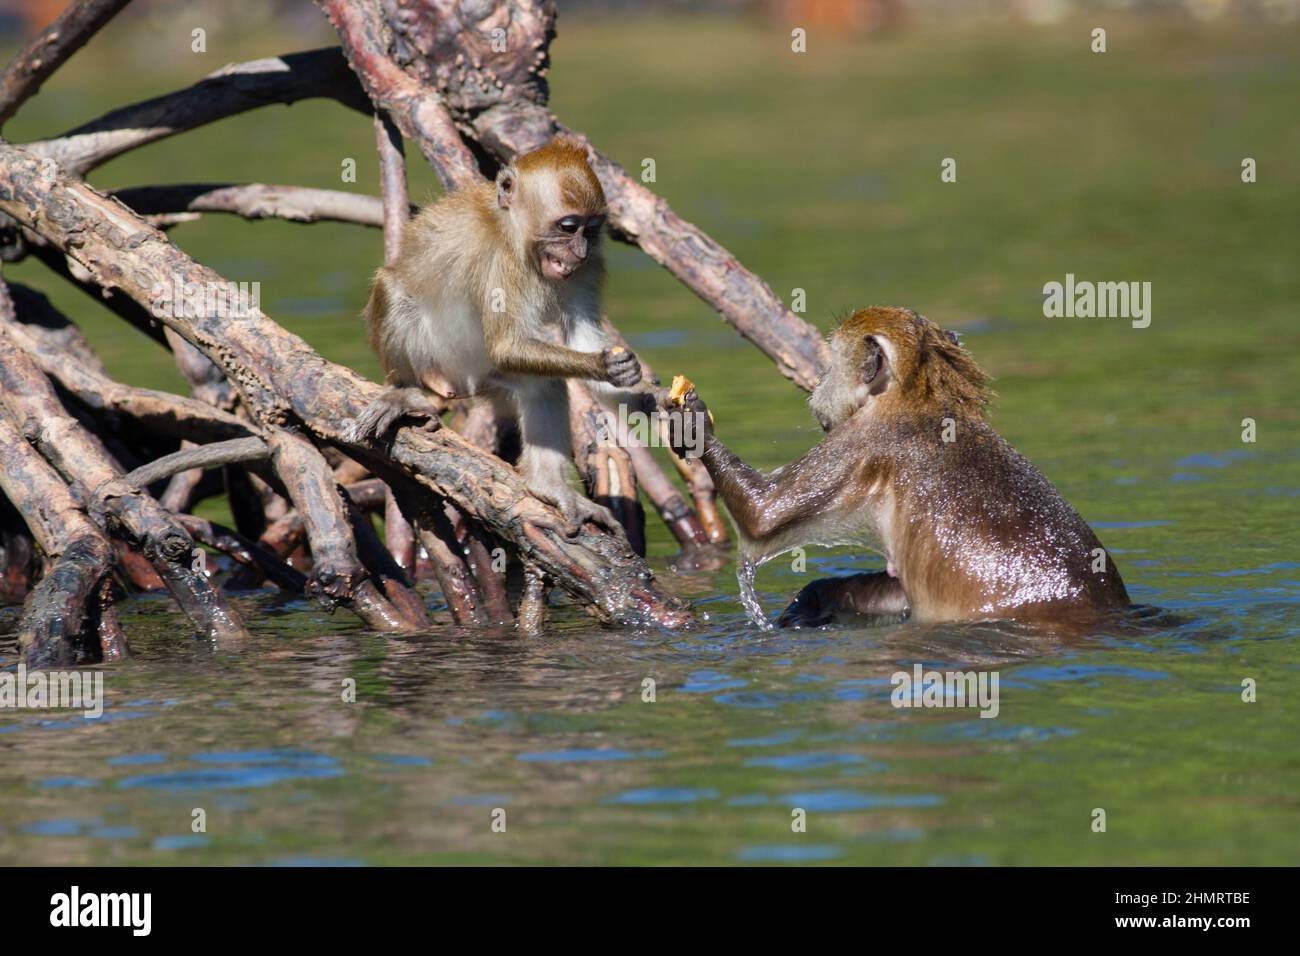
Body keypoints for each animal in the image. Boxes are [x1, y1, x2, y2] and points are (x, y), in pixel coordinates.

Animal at [343, 136, 654, 533]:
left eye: (591, 229)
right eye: (568, 227)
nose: (579, 251)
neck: (516, 237)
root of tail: (459, 383)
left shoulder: (587, 270)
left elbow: (578, 337)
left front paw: (634, 383)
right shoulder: (500, 261)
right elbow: (507, 345)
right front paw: (603, 365)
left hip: (486, 380)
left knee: (543, 385)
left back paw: (548, 486)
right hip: (437, 362)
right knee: (392, 288)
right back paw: (407, 393)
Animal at [661, 306, 1130, 627]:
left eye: (831, 365)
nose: (816, 386)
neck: (923, 401)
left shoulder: (862, 442)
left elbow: (762, 517)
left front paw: (693, 423)